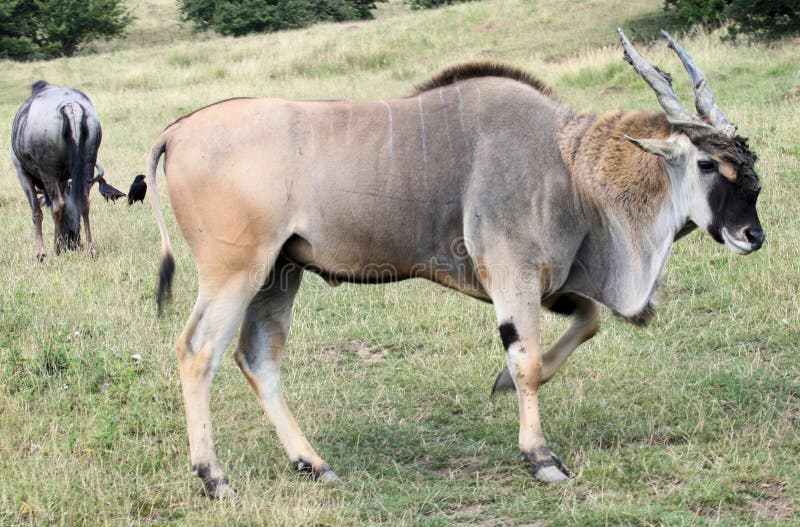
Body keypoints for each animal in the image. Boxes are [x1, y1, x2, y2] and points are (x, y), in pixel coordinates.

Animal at [147, 29, 763, 496]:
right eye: (708, 163)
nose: (751, 235)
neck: (568, 164)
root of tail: (175, 131)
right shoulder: (512, 276)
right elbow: (529, 360)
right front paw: (542, 459)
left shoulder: (547, 284)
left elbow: (582, 325)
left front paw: (499, 387)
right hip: (236, 273)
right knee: (197, 352)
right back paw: (214, 478)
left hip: (280, 274)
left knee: (257, 358)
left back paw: (313, 464)